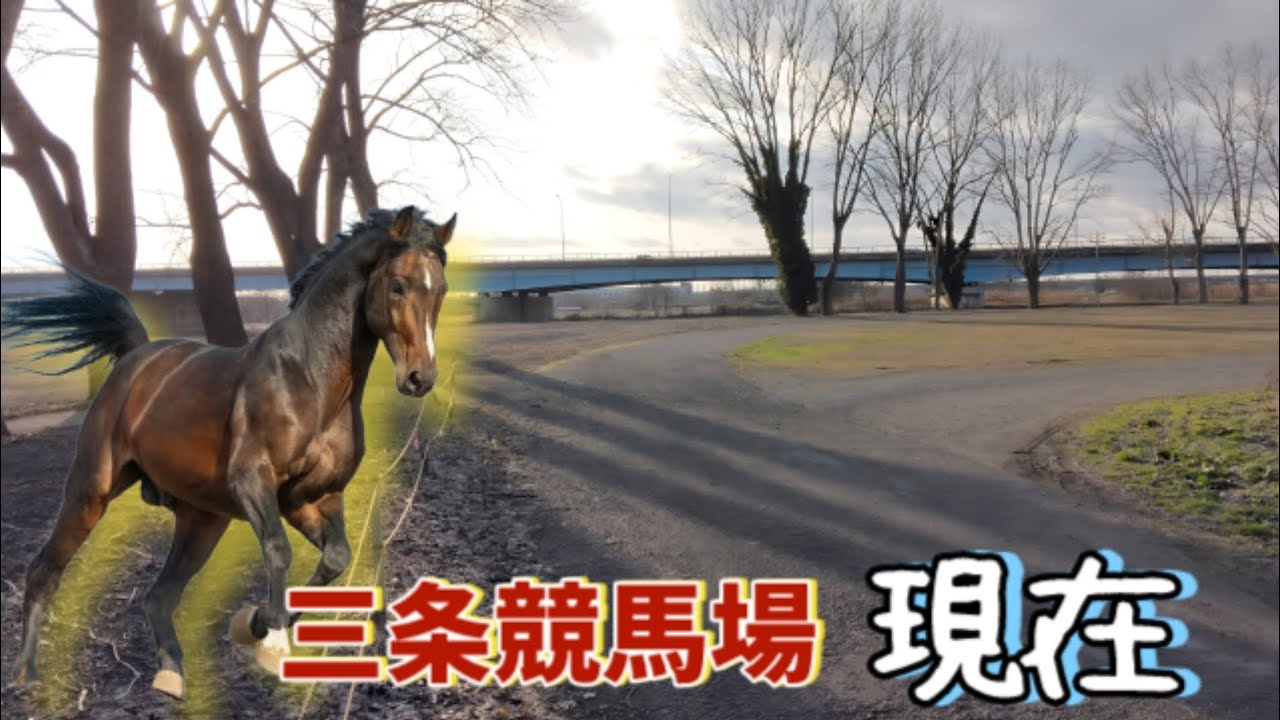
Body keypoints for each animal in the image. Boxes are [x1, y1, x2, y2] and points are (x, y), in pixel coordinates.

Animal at [3, 206, 455, 700]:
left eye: (442, 289)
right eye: (398, 286)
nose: (420, 378)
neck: (309, 380)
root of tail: (137, 357)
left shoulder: (312, 497)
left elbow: (336, 558)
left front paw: (255, 624)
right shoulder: (253, 481)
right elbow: (278, 550)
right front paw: (268, 638)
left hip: (202, 520)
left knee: (159, 596)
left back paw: (170, 675)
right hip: (91, 489)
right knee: (45, 570)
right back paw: (25, 673)